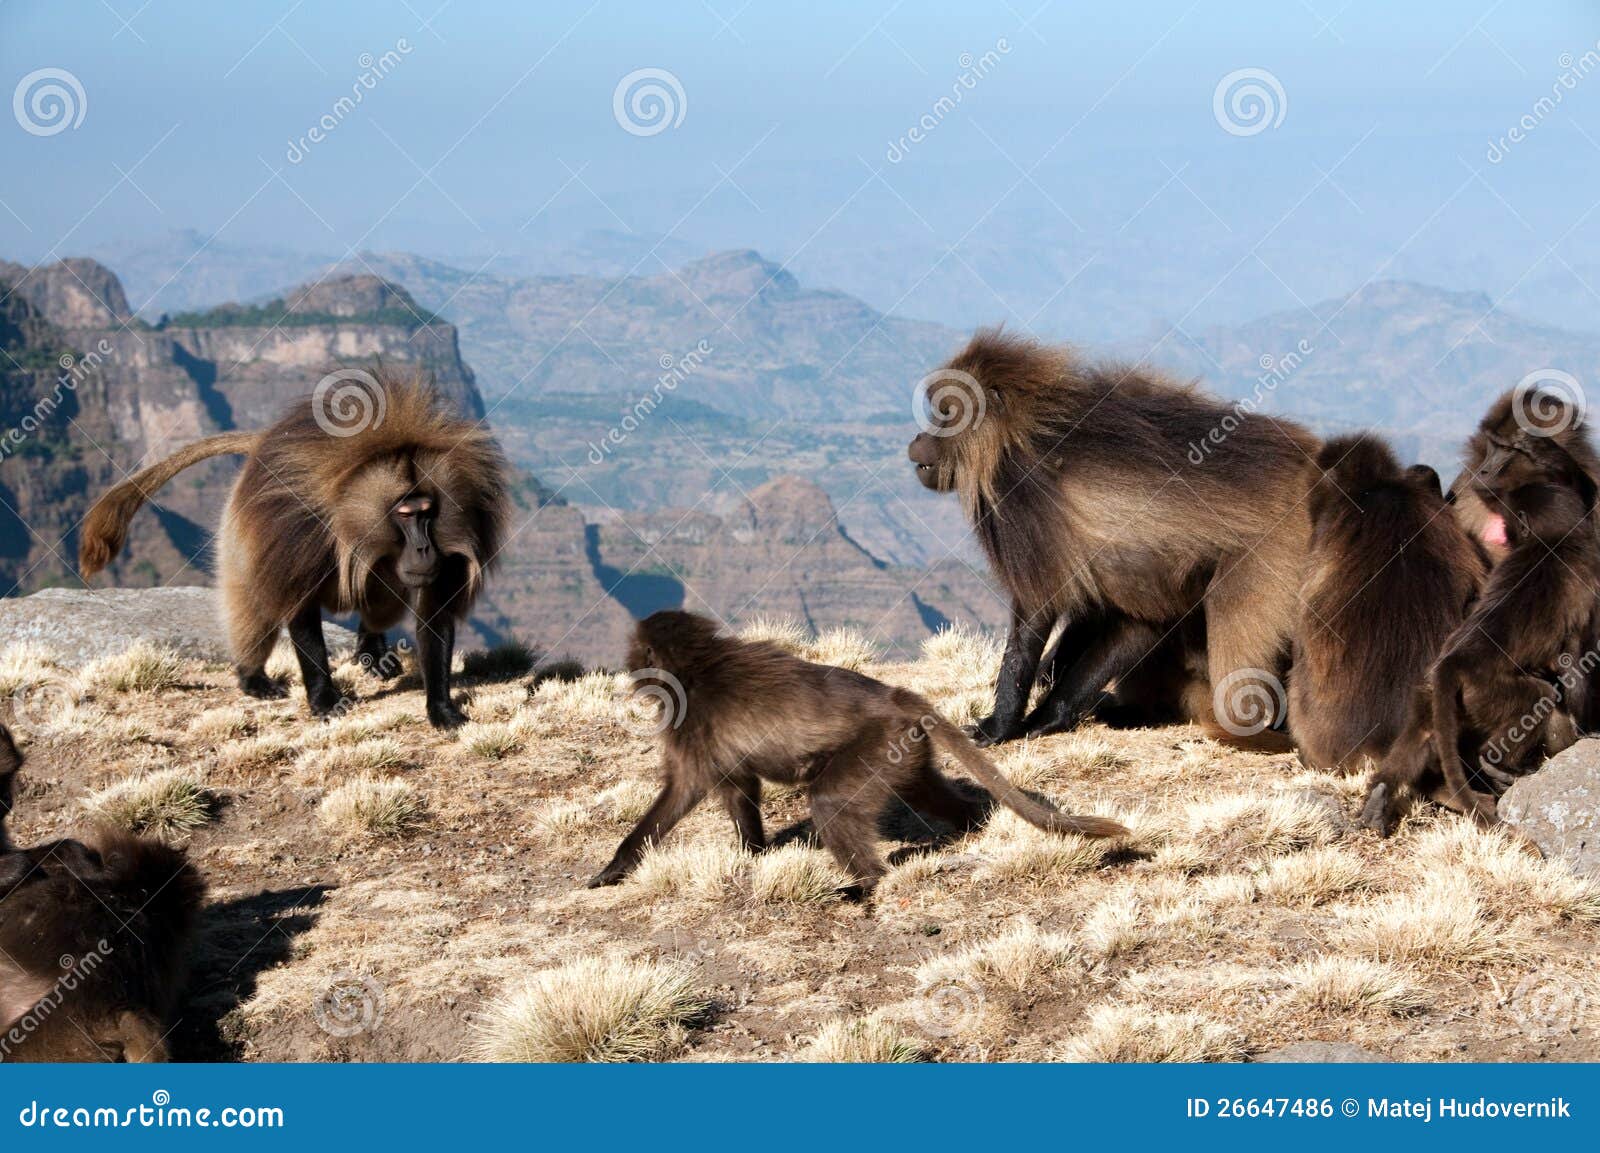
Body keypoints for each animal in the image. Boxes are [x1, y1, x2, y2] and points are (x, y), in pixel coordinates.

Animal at [78, 369, 509, 727]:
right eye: (404, 514)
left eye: (427, 512)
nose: (423, 550)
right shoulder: (303, 532)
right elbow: (299, 609)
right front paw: (324, 700)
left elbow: (434, 613)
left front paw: (441, 708)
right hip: (240, 534)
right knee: (253, 605)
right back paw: (252, 677)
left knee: (382, 593)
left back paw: (370, 646)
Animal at [588, 611, 1129, 897]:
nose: (629, 670)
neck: (695, 667)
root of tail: (897, 698)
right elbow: (740, 790)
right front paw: (753, 853)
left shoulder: (691, 729)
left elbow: (680, 795)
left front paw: (613, 869)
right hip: (902, 752)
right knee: (926, 791)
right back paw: (969, 822)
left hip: (872, 749)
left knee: (830, 802)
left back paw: (864, 884)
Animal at [907, 328, 1319, 749]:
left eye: (943, 414)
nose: (919, 436)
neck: (1019, 433)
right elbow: (1105, 610)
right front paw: (1052, 701)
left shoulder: (1021, 498)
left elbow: (1048, 613)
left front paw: (1005, 724)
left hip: (1274, 551)